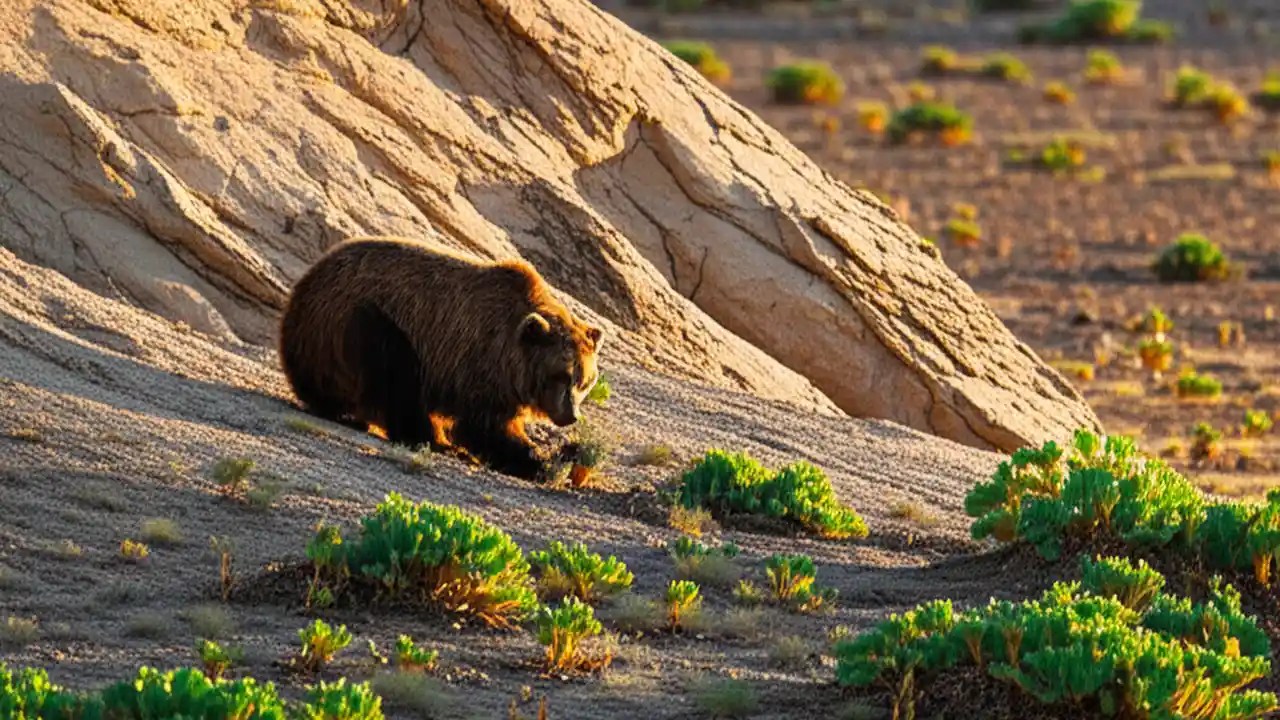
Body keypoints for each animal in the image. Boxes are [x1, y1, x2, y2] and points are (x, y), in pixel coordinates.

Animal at [279, 236, 603, 479]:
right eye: (562, 375)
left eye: (584, 381)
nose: (570, 414)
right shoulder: (481, 365)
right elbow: (486, 427)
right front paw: (544, 461)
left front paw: (568, 453)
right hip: (362, 323)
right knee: (394, 378)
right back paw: (429, 439)